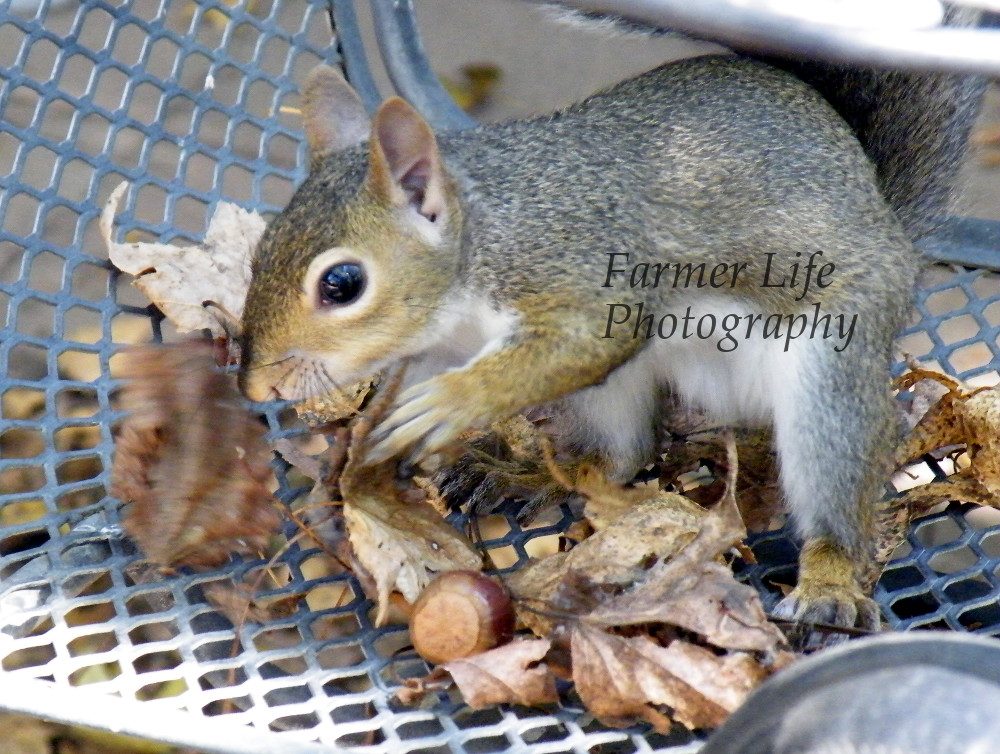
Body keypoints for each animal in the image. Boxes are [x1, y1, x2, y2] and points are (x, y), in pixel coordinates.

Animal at [237, 32, 983, 630]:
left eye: (342, 284)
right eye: (262, 252)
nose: (256, 385)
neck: (481, 237)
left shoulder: (584, 273)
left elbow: (582, 338)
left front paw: (452, 404)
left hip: (829, 370)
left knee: (833, 480)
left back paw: (829, 580)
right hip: (611, 395)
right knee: (622, 456)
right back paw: (528, 473)